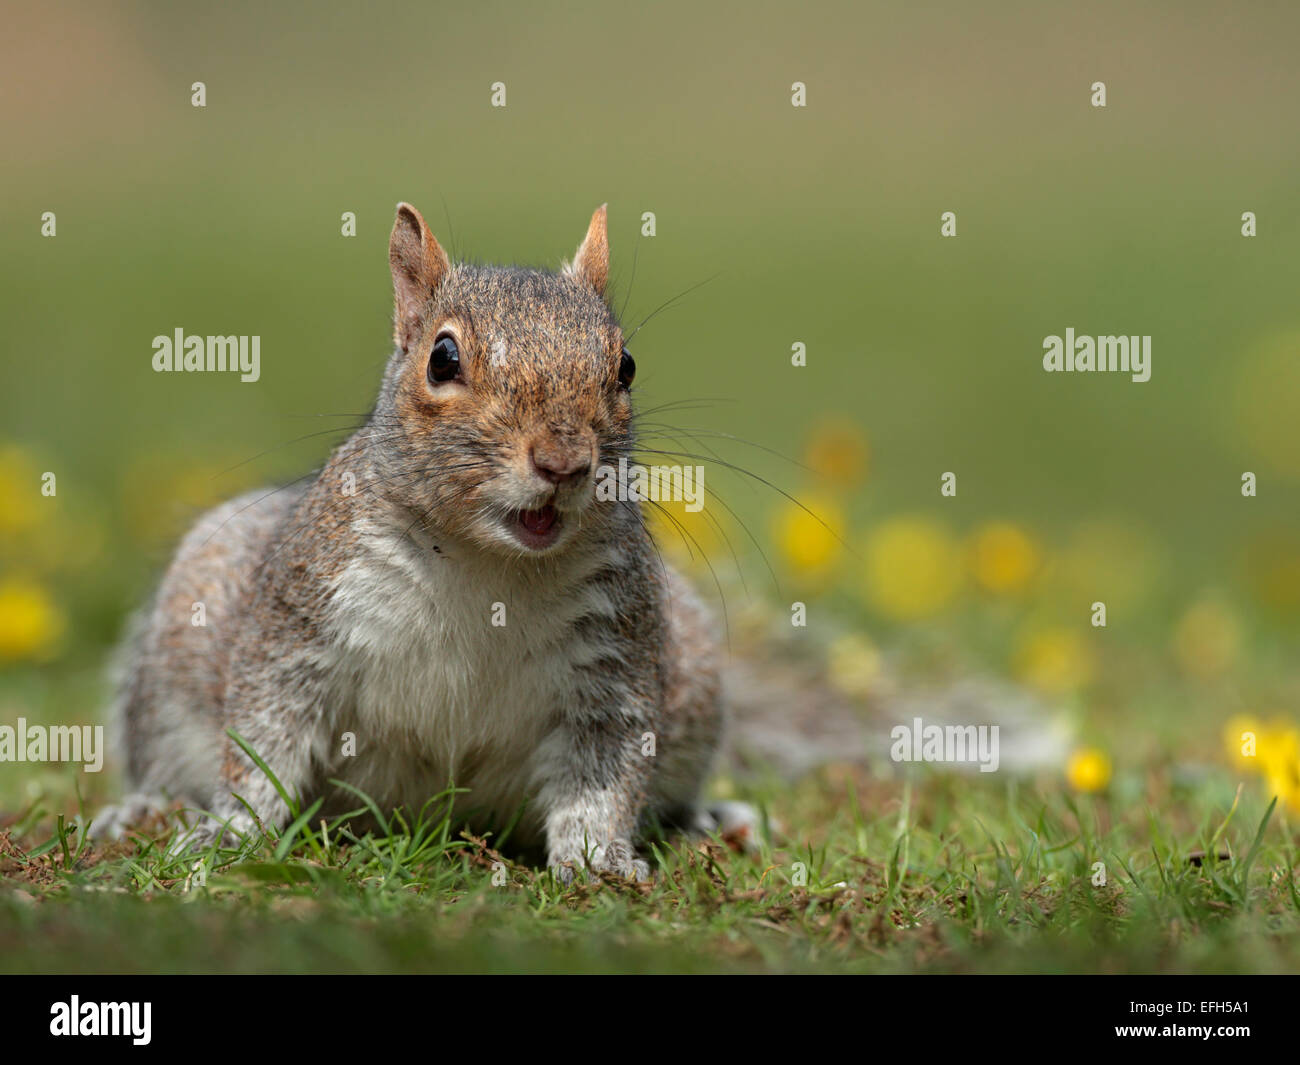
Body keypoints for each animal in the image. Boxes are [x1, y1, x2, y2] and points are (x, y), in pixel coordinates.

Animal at [92, 203, 755, 882]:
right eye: (442, 359)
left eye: (625, 366)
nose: (564, 462)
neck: (489, 561)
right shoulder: (300, 622)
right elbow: (264, 734)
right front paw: (232, 827)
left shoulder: (615, 655)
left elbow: (606, 770)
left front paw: (599, 858)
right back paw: (146, 807)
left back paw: (705, 818)